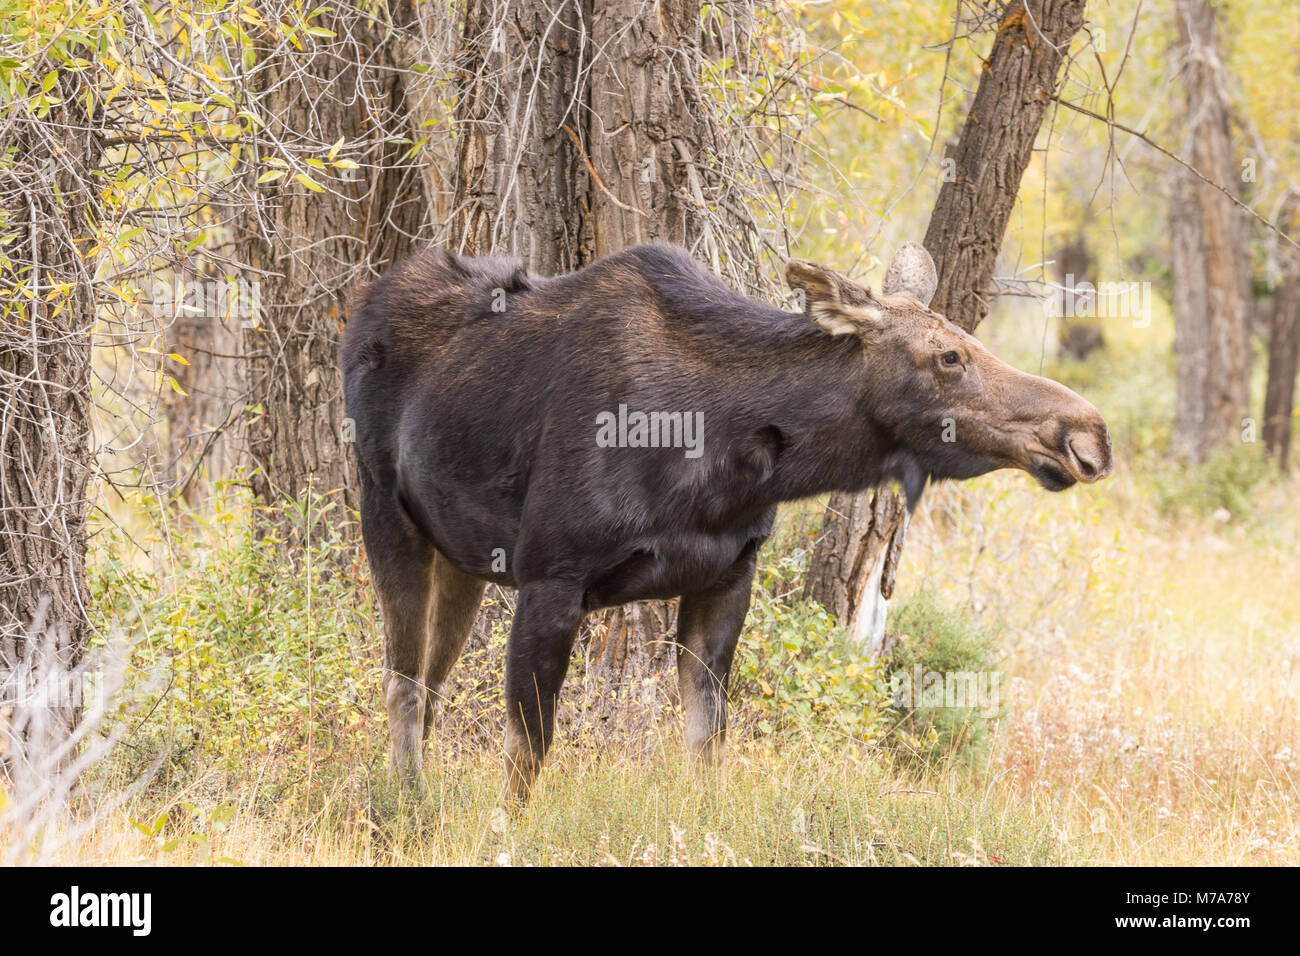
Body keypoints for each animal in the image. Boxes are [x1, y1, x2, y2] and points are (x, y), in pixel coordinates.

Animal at [341, 240, 1112, 804]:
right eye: (948, 356)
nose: (1088, 433)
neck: (723, 455)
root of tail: (363, 307)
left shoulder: (725, 578)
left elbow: (706, 747)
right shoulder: (551, 576)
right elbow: (527, 756)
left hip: (461, 556)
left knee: (429, 684)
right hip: (386, 513)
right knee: (401, 681)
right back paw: (407, 806)